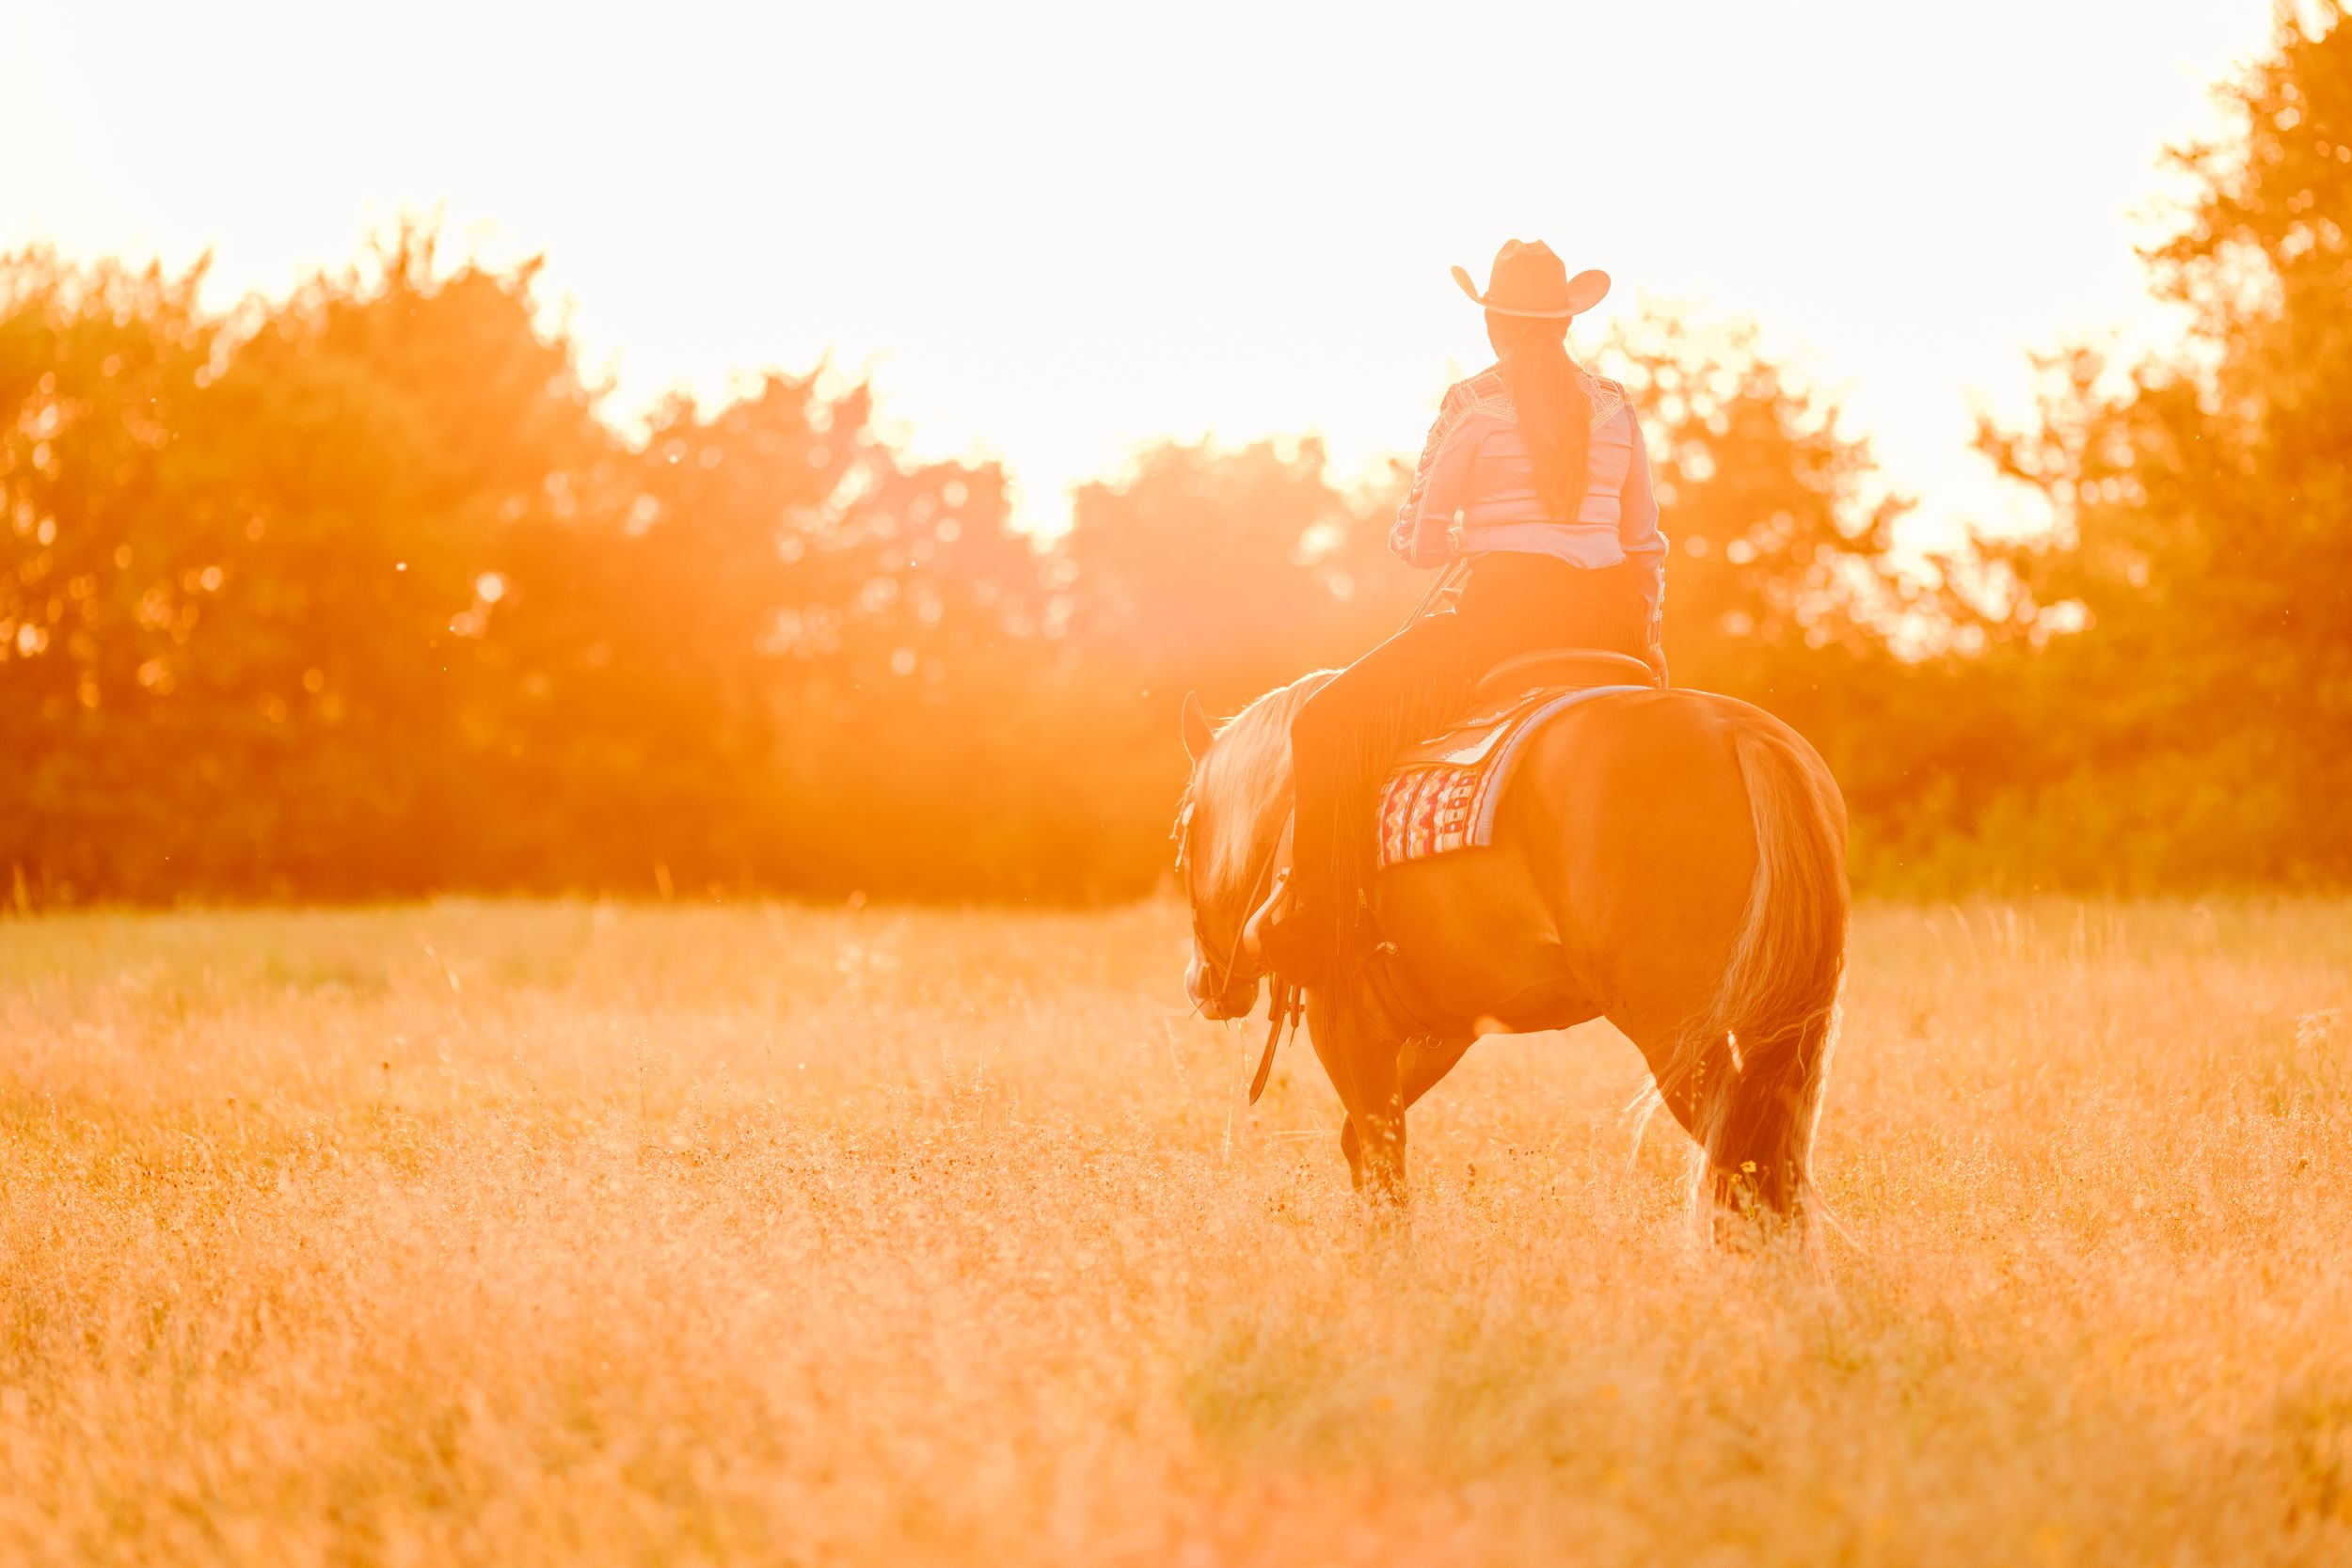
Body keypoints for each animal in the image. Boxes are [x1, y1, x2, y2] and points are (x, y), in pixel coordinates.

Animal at [1175, 666, 1849, 1241]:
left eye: (1182, 833)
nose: (1201, 985)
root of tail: (1738, 732)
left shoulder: (1342, 1024)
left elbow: (1382, 1164)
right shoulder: (1440, 1032)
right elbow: (1363, 1149)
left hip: (1684, 1040)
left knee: (1744, 1170)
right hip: (1775, 1034)